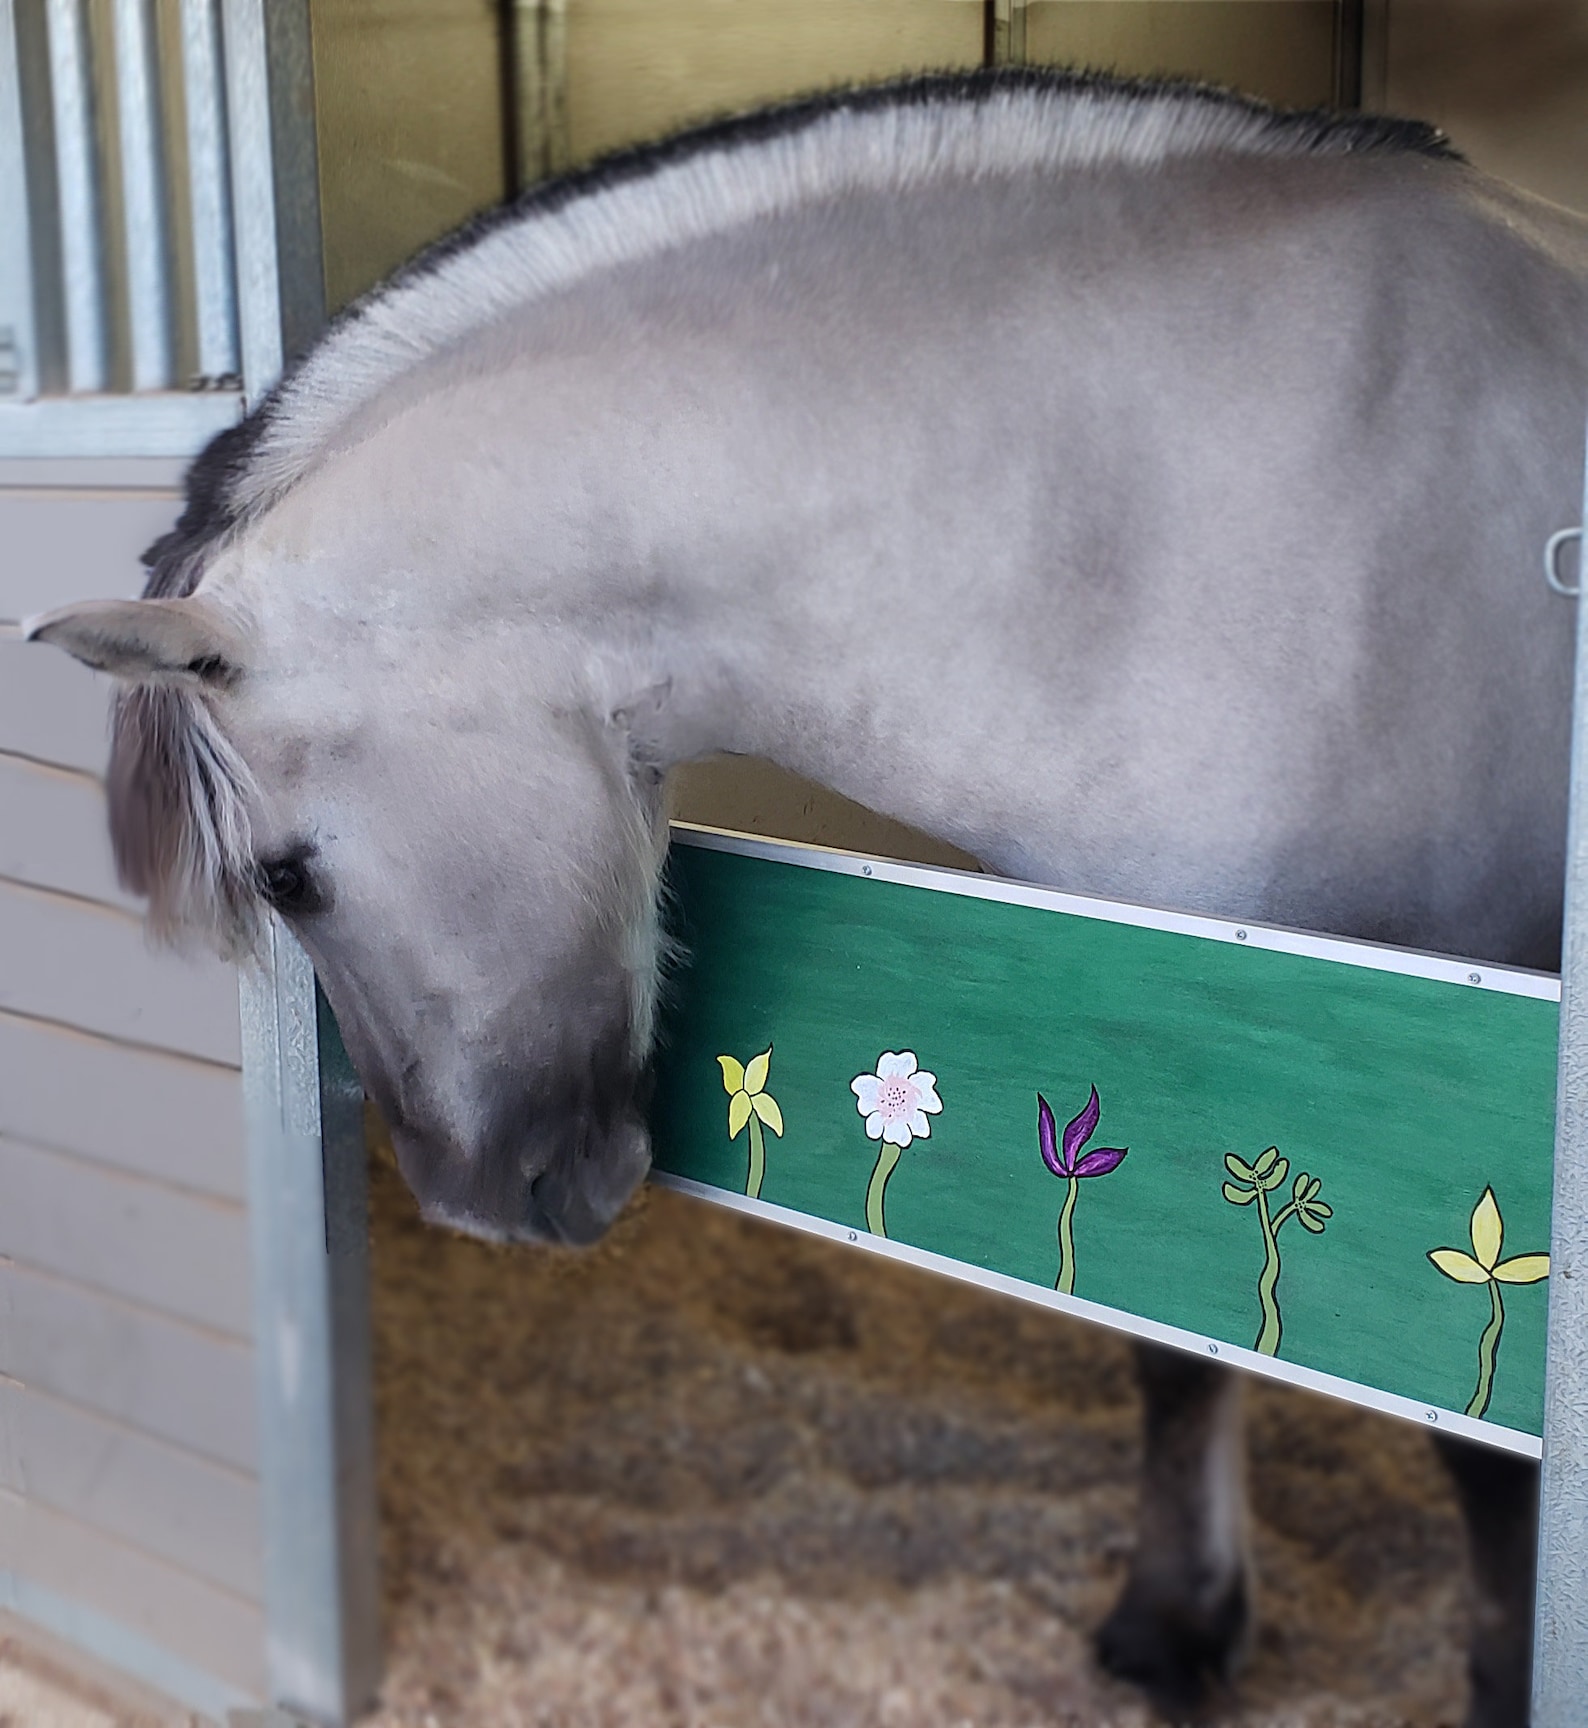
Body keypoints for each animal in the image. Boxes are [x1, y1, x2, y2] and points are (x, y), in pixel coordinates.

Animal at [26, 68, 1588, 1726]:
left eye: (288, 874)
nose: (470, 1197)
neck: (1178, 518)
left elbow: (1494, 1463)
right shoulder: (1147, 1002)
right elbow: (1170, 1348)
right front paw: (1175, 1622)